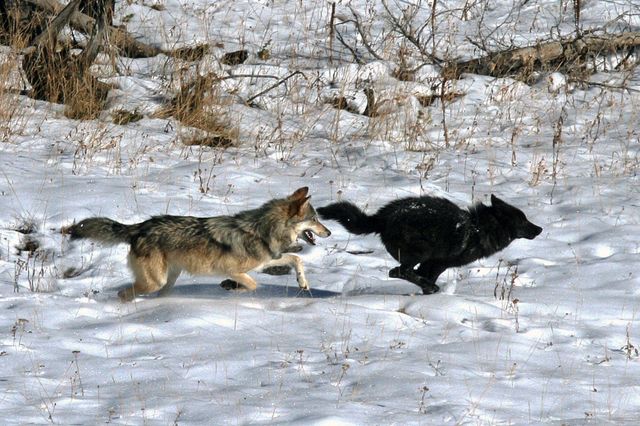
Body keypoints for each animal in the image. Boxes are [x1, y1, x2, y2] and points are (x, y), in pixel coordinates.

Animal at [63, 187, 331, 301]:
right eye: (315, 219)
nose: (328, 231)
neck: (263, 230)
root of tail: (139, 226)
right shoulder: (232, 269)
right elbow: (253, 285)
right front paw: (231, 288)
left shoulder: (266, 261)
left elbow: (297, 258)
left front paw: (303, 283)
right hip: (154, 281)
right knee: (123, 293)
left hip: (167, 280)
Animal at [317, 194, 542, 294]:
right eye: (523, 221)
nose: (540, 229)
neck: (480, 228)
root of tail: (382, 217)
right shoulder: (437, 263)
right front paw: (430, 290)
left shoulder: (431, 265)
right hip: (421, 253)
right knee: (397, 271)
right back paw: (431, 286)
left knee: (401, 272)